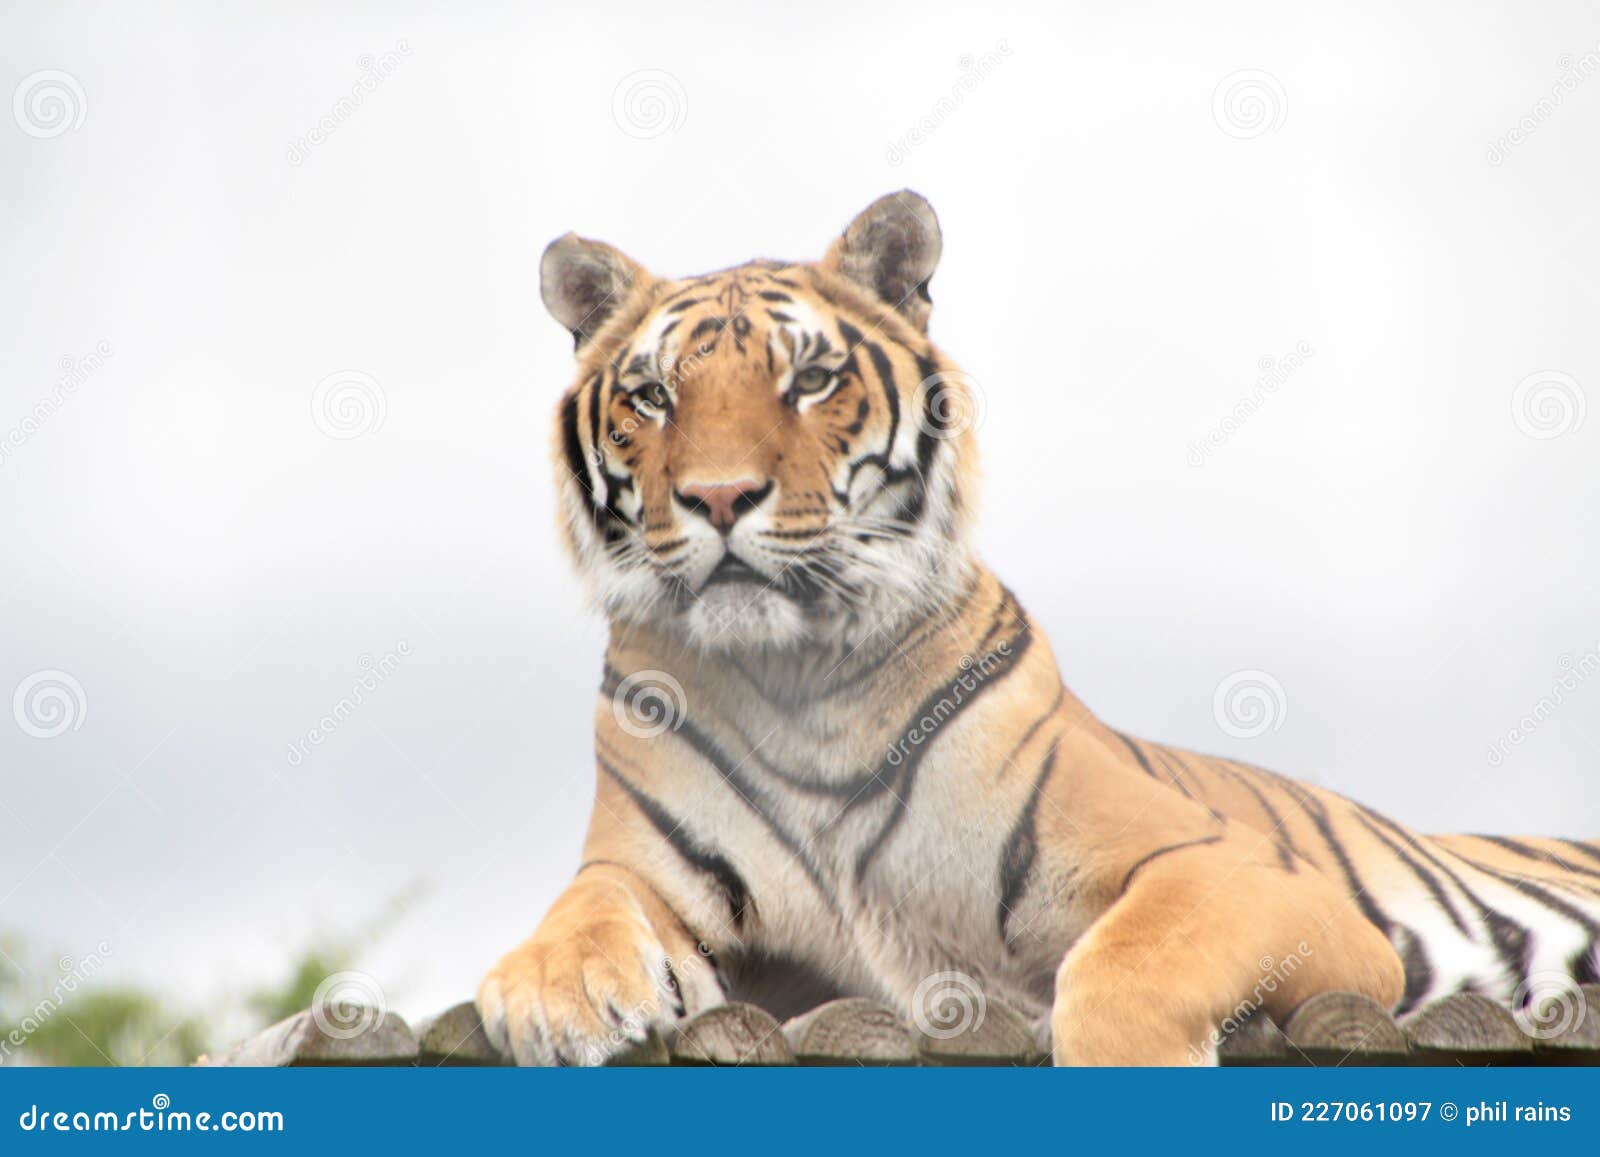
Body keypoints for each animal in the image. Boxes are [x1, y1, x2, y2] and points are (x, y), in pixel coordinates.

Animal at [476, 191, 1600, 1066]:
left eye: (810, 379)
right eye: (651, 395)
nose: (717, 496)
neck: (799, 678)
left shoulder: (1246, 875)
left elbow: (1125, 964)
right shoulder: (638, 866)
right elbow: (579, 909)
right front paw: (558, 992)